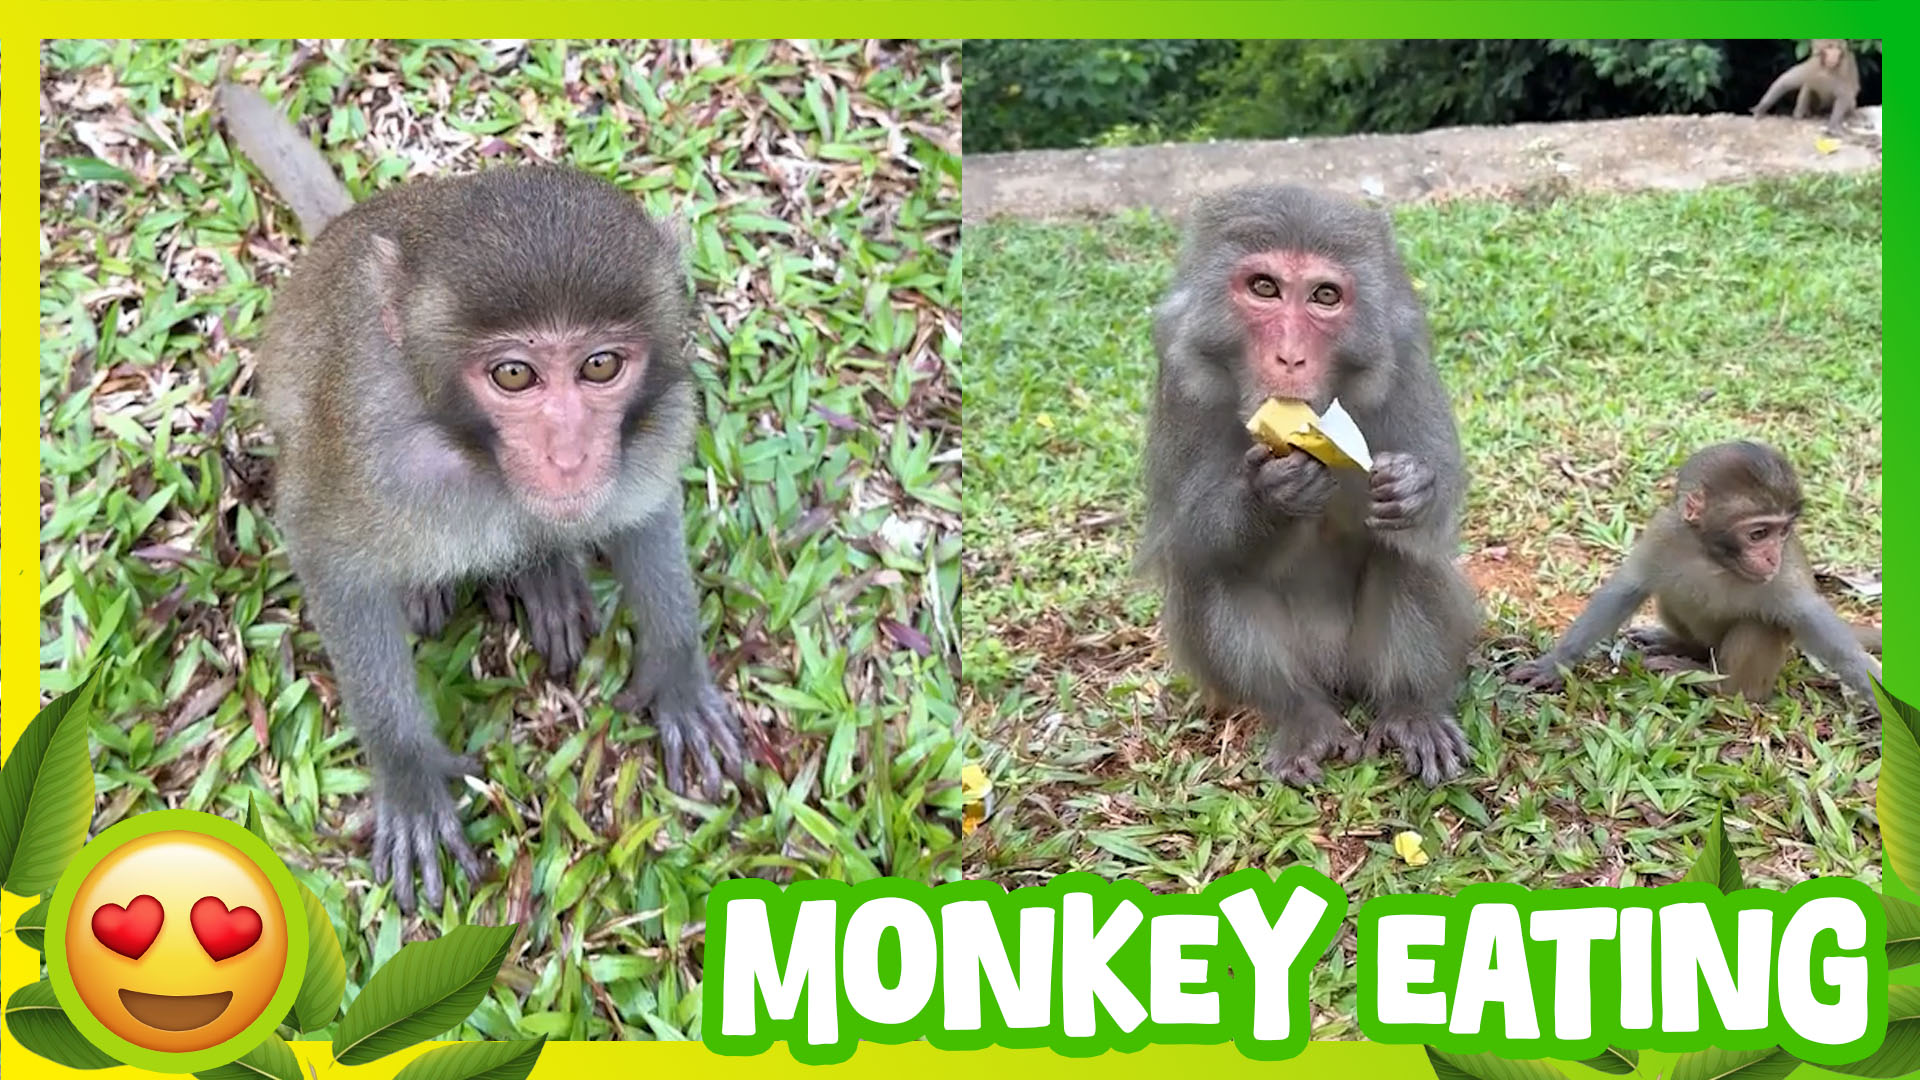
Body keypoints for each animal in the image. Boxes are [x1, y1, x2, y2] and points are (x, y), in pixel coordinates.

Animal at [216, 83, 746, 912]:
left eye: (600, 366)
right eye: (514, 376)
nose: (569, 455)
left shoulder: (658, 415)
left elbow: (644, 513)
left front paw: (677, 670)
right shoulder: (372, 453)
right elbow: (331, 562)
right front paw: (407, 771)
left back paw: (545, 572)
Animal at [1137, 184, 1480, 788]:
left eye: (1325, 296)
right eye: (1264, 288)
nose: (1290, 356)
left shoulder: (1405, 354)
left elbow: (1433, 528)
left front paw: (1415, 489)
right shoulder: (1181, 372)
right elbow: (1178, 537)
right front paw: (1269, 497)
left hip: (1360, 661)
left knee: (1407, 554)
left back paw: (1410, 709)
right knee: (1212, 572)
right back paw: (1301, 717)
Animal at [1507, 440, 1881, 717]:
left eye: (1783, 532)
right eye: (1759, 533)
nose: (1772, 557)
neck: (1715, 558)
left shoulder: (1784, 578)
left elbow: (1832, 643)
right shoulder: (1665, 533)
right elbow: (1625, 591)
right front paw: (1555, 663)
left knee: (1760, 625)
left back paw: (1716, 684)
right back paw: (1683, 647)